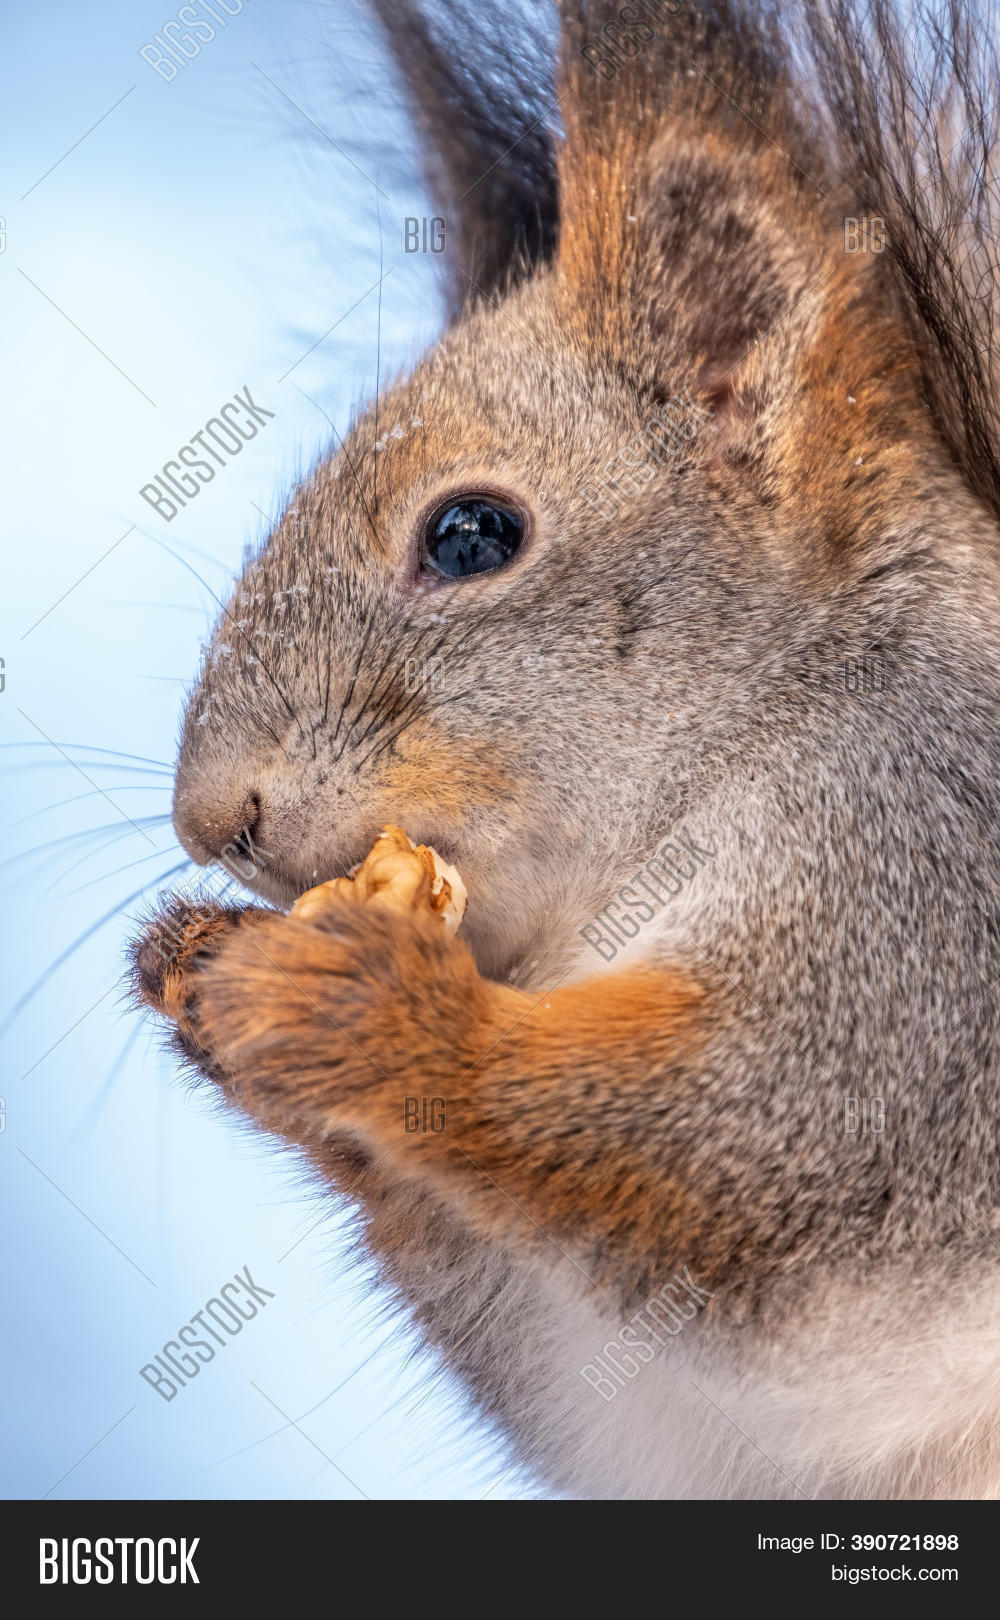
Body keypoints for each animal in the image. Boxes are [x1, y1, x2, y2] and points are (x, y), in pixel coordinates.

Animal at [131, 1, 1000, 1498]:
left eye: (471, 534)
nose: (212, 820)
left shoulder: (925, 891)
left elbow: (775, 1135)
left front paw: (378, 1007)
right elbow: (584, 1376)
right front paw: (190, 969)